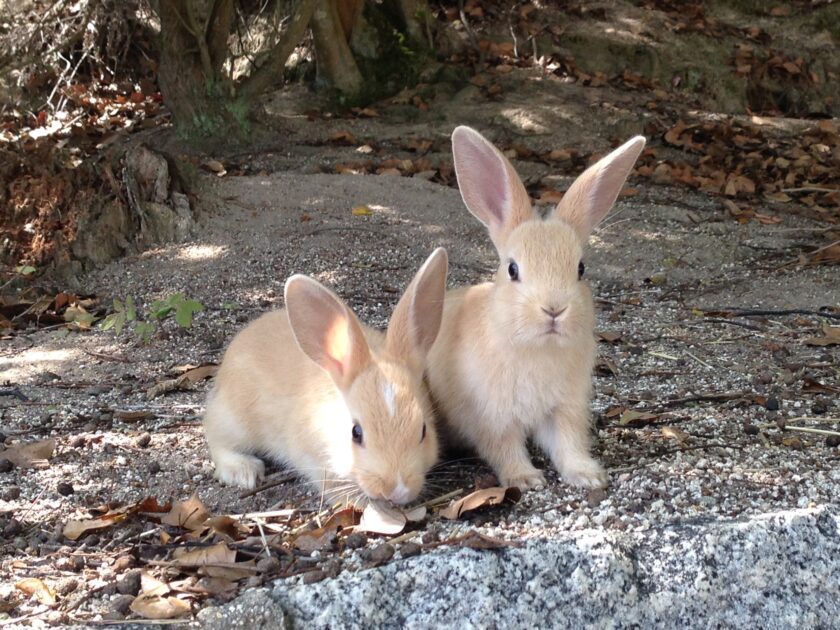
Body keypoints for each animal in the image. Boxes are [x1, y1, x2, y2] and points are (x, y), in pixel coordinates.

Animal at [203, 248, 448, 505]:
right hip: (234, 421)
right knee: (216, 438)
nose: (397, 490)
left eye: (423, 430)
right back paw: (243, 470)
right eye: (356, 433)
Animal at [426, 127, 645, 491]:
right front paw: (526, 479)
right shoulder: (493, 417)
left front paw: (588, 475)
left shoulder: (564, 409)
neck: (538, 347)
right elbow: (505, 448)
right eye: (512, 269)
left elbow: (568, 444)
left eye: (581, 269)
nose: (554, 309)